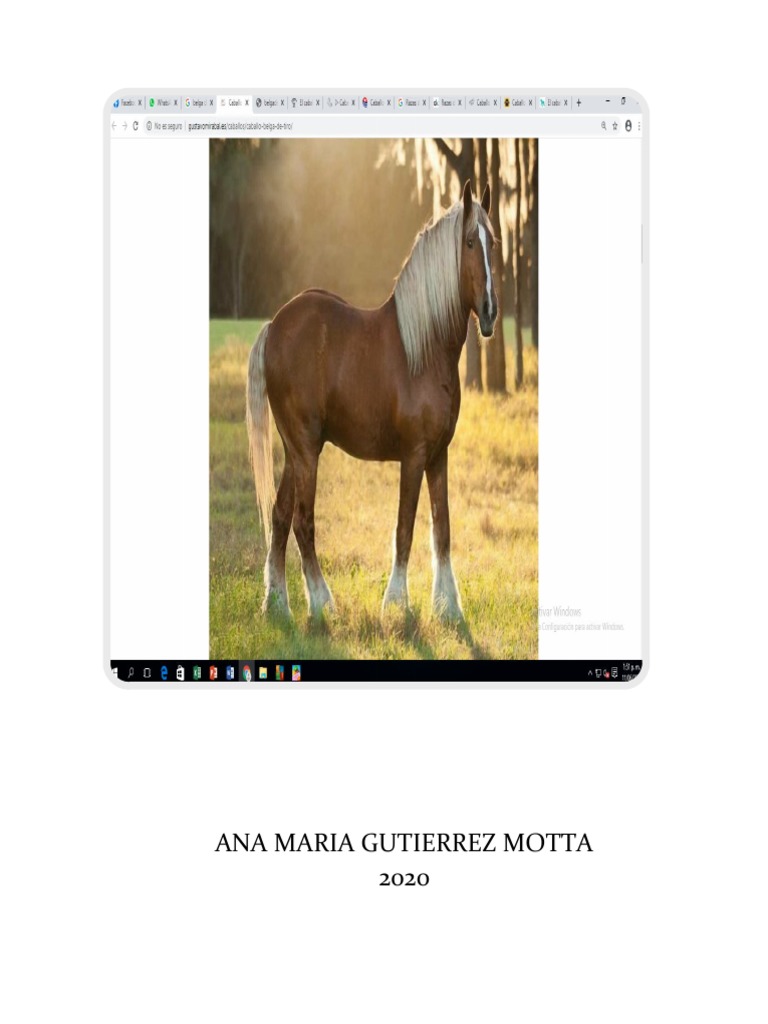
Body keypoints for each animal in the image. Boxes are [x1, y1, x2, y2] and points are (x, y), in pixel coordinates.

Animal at [246, 180, 498, 622]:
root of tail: (275, 325)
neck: (425, 349)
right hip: (307, 450)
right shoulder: (414, 455)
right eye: (469, 241)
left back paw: (277, 604)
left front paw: (448, 606)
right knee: (303, 521)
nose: (489, 313)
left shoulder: (438, 455)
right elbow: (405, 528)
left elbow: (442, 528)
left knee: (280, 516)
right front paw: (397, 603)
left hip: (296, 451)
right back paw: (322, 603)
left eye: (494, 243)